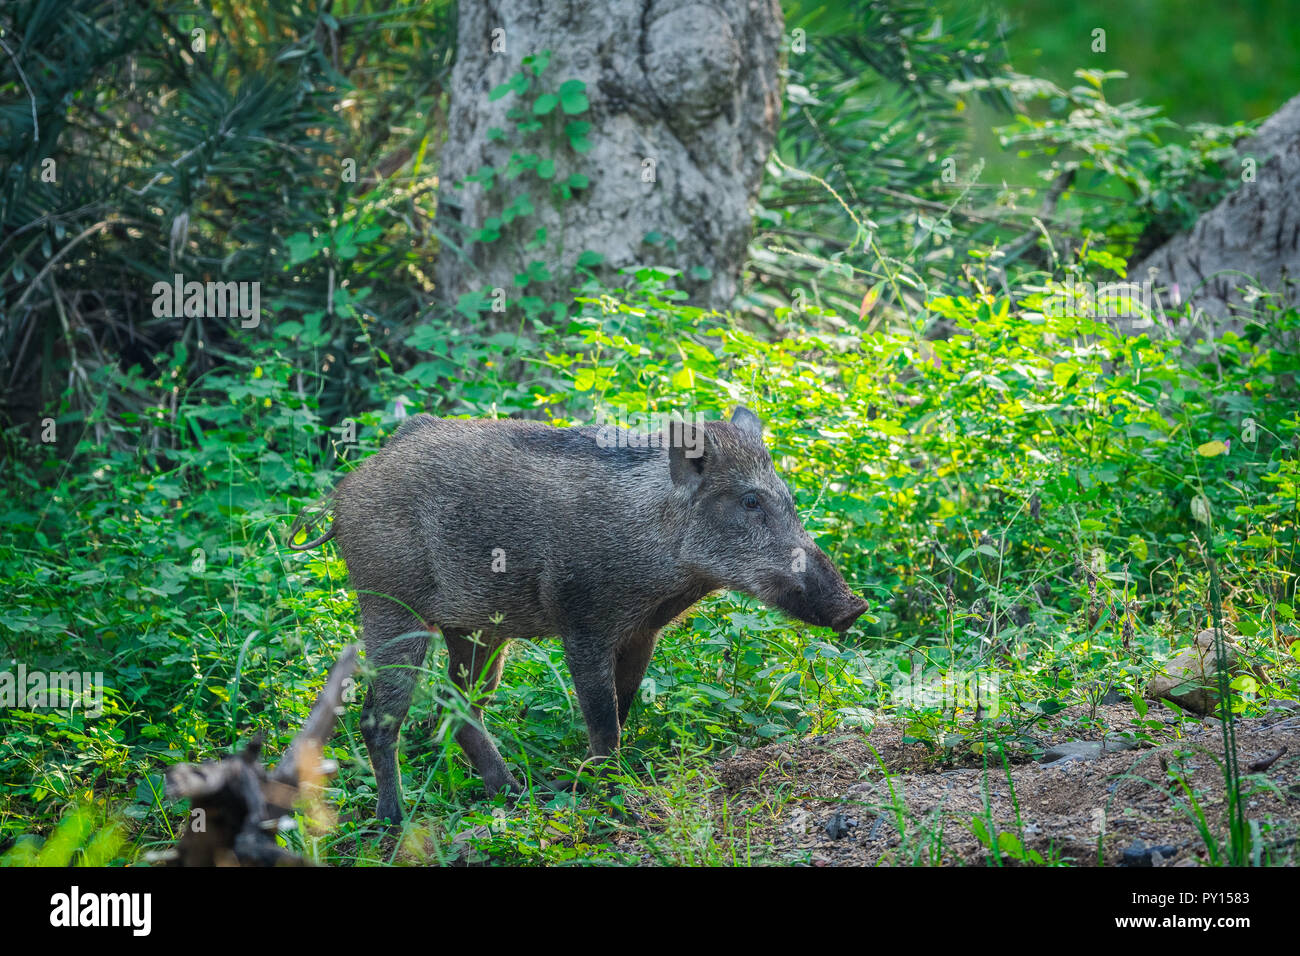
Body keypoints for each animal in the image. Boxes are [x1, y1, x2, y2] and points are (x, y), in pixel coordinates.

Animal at [288, 407, 868, 823]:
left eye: (787, 498)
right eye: (750, 502)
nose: (853, 606)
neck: (661, 546)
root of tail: (347, 489)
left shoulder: (642, 632)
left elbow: (623, 706)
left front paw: (596, 780)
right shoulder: (582, 621)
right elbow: (601, 715)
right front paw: (604, 789)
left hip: (476, 630)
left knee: (456, 704)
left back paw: (514, 792)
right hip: (390, 607)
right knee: (379, 715)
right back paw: (396, 821)